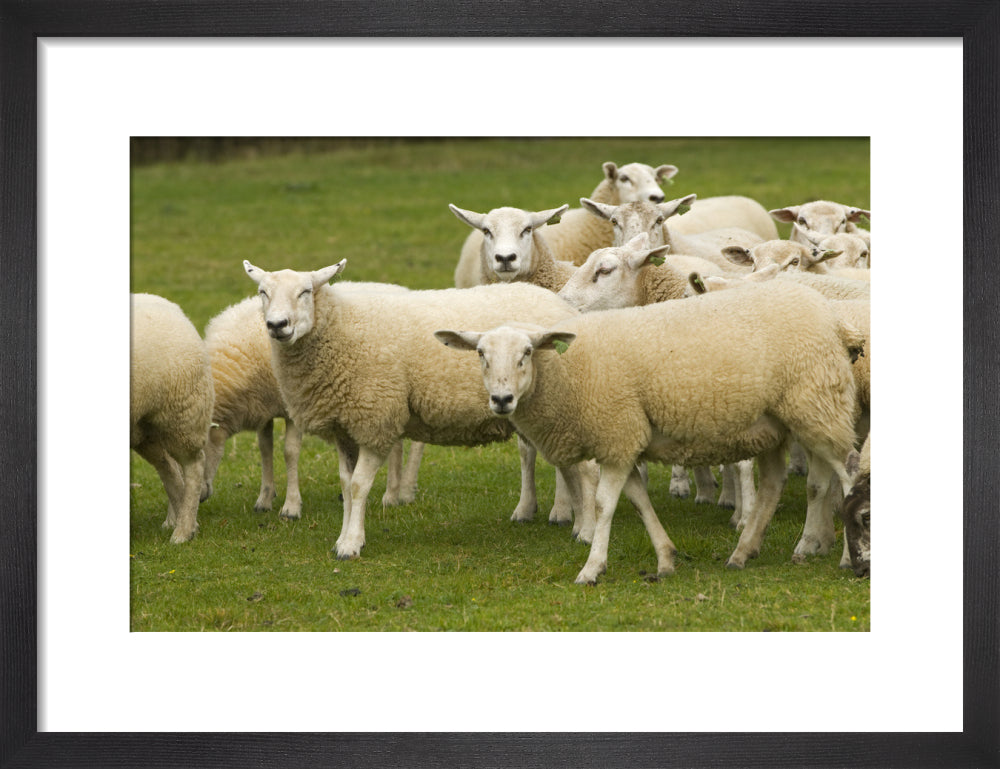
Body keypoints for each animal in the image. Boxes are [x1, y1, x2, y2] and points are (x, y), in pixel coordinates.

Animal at [130, 293, 214, 543]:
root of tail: (174, 307)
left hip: (181, 415)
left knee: (193, 466)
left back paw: (183, 531)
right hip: (143, 428)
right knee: (168, 468)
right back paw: (183, 522)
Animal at [203, 293, 425, 520]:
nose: (201, 496)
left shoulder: (293, 407)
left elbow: (290, 452)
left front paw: (291, 506)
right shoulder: (264, 407)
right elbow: (265, 449)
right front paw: (264, 498)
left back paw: (402, 492)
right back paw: (392, 493)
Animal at [243, 259, 587, 559]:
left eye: (305, 291)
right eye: (262, 292)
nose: (277, 325)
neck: (342, 328)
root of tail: (560, 302)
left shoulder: (376, 419)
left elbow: (358, 485)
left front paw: (351, 545)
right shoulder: (345, 428)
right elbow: (345, 483)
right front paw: (344, 537)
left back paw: (574, 521)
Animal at [437, 279, 862, 584]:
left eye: (526, 353)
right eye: (480, 354)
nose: (501, 399)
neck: (566, 373)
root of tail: (832, 319)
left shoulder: (616, 435)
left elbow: (602, 505)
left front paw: (591, 568)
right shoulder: (623, 442)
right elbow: (639, 502)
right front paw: (665, 559)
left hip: (816, 404)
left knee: (849, 474)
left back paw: (847, 558)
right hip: (777, 422)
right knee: (776, 484)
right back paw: (745, 553)